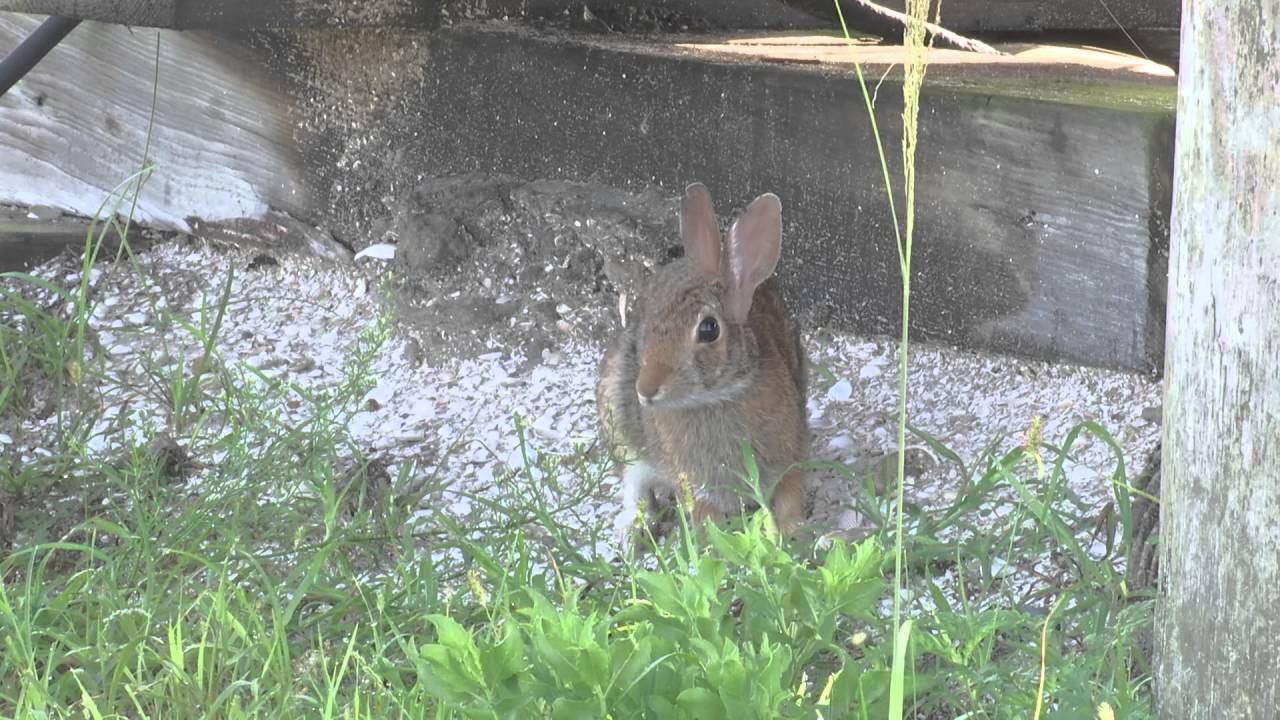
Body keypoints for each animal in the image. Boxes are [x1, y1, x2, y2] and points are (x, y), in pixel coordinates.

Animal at [596, 182, 810, 539]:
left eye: (709, 329)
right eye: (646, 324)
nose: (646, 390)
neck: (717, 397)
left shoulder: (789, 457)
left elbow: (790, 499)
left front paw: (793, 535)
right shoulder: (694, 486)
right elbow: (706, 519)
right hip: (622, 433)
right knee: (634, 485)